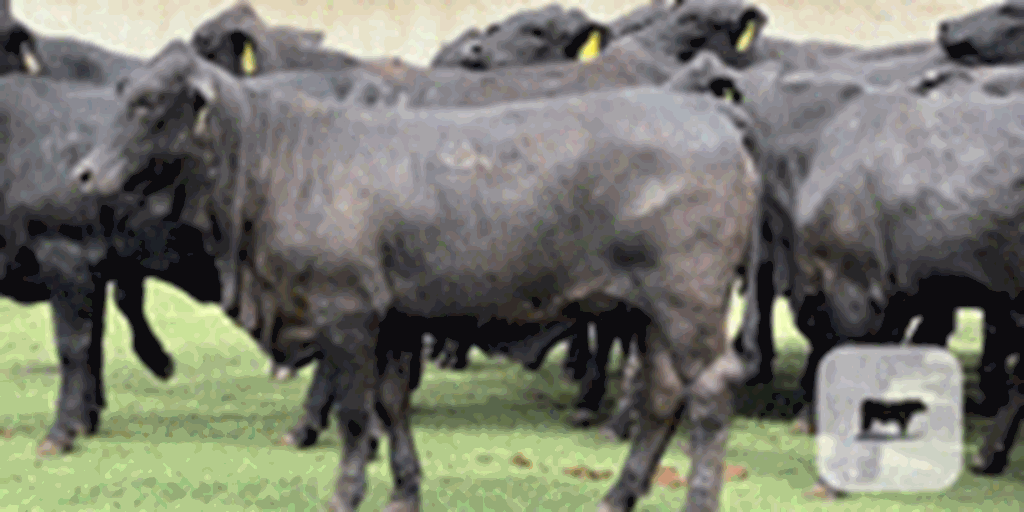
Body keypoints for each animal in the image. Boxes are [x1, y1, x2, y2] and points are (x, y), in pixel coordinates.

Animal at [70, 39, 761, 512]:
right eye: (124, 94)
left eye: (148, 103)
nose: (82, 173)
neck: (275, 160)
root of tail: (708, 112)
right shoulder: (397, 320)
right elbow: (392, 403)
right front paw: (404, 490)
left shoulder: (346, 313)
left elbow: (355, 413)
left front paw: (345, 493)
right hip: (650, 312)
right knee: (661, 396)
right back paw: (619, 493)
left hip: (689, 303)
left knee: (709, 392)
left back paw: (697, 498)